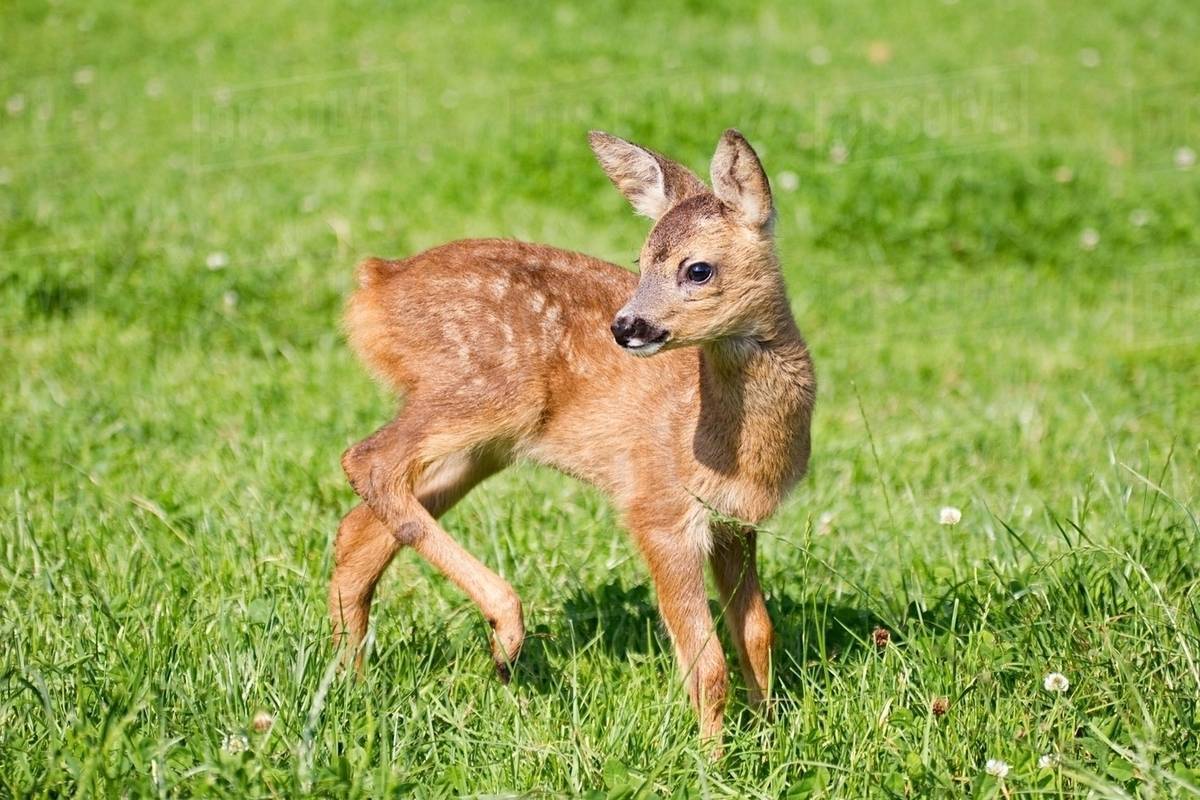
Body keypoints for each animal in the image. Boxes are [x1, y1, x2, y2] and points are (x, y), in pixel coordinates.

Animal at [331, 128, 815, 745]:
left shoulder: (734, 522)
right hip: (483, 391)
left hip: (489, 442)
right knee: (366, 459)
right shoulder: (657, 509)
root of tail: (372, 286)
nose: (625, 327)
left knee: (359, 529)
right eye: (640, 260)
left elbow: (757, 633)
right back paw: (505, 631)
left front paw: (770, 734)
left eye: (697, 269)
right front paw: (712, 757)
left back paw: (351, 682)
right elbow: (707, 662)